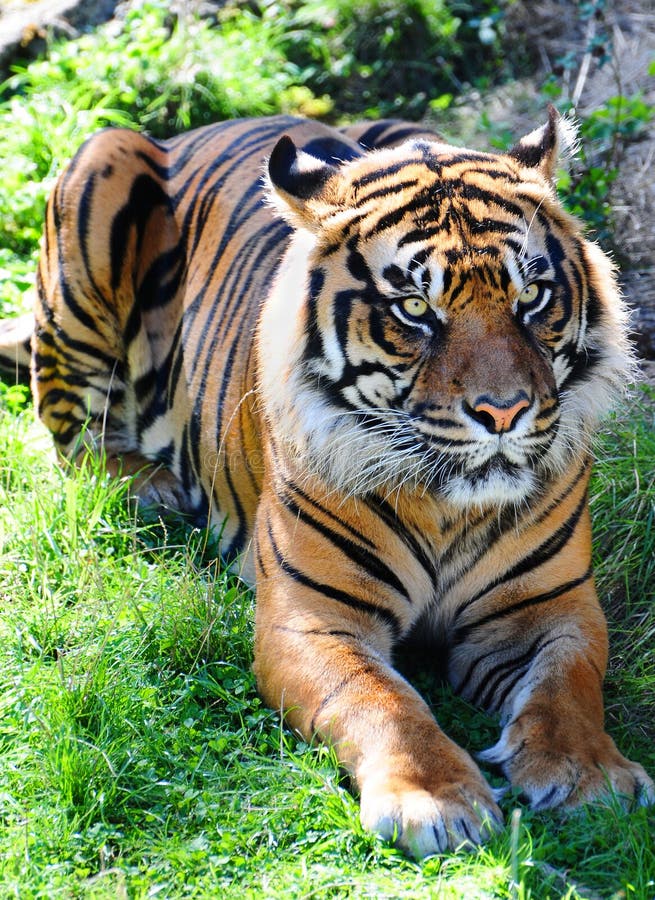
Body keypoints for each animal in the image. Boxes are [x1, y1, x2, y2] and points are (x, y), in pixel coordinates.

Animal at [1, 110, 653, 858]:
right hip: (100, 169)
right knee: (74, 437)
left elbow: (567, 687)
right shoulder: (311, 619)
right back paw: (150, 490)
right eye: (413, 308)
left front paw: (588, 775)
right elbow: (381, 698)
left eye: (532, 296)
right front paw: (435, 801)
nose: (503, 412)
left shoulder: (551, 609)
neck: (449, 507)